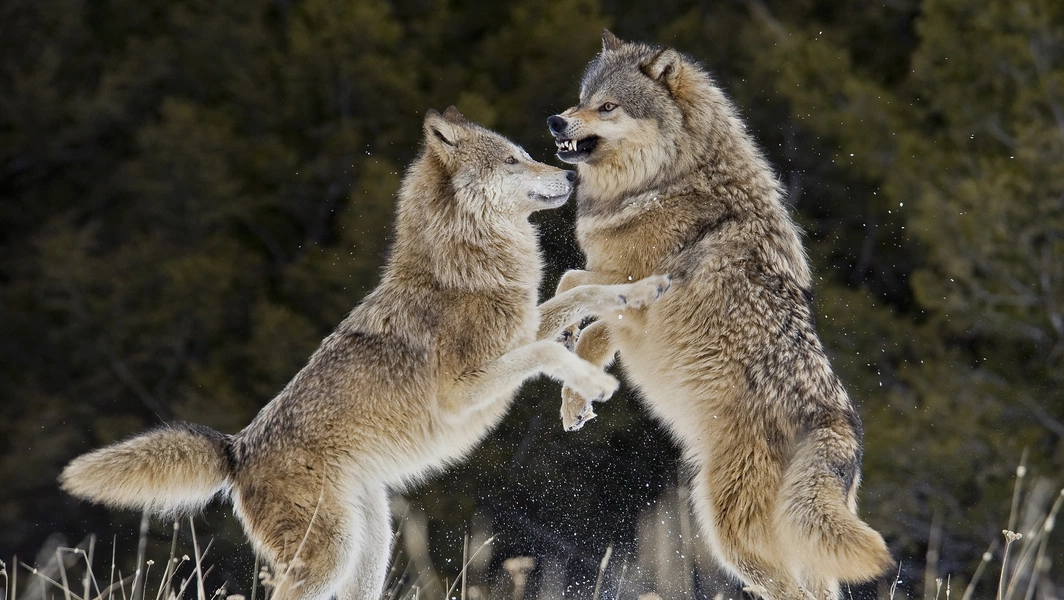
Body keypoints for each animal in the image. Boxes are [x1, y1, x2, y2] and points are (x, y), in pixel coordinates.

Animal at [60, 106, 671, 600]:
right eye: (515, 160)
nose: (569, 172)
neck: (466, 268)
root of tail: (237, 450)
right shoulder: (466, 390)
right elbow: (547, 347)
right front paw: (594, 383)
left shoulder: (520, 330)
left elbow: (580, 296)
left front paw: (643, 290)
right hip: (328, 558)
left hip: (371, 546)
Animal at [545, 31, 893, 600]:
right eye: (581, 99)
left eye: (608, 107)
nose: (556, 121)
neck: (667, 181)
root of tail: (838, 427)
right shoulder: (618, 295)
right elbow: (577, 298)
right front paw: (572, 365)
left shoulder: (633, 292)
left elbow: (579, 297)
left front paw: (572, 378)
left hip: (728, 533)